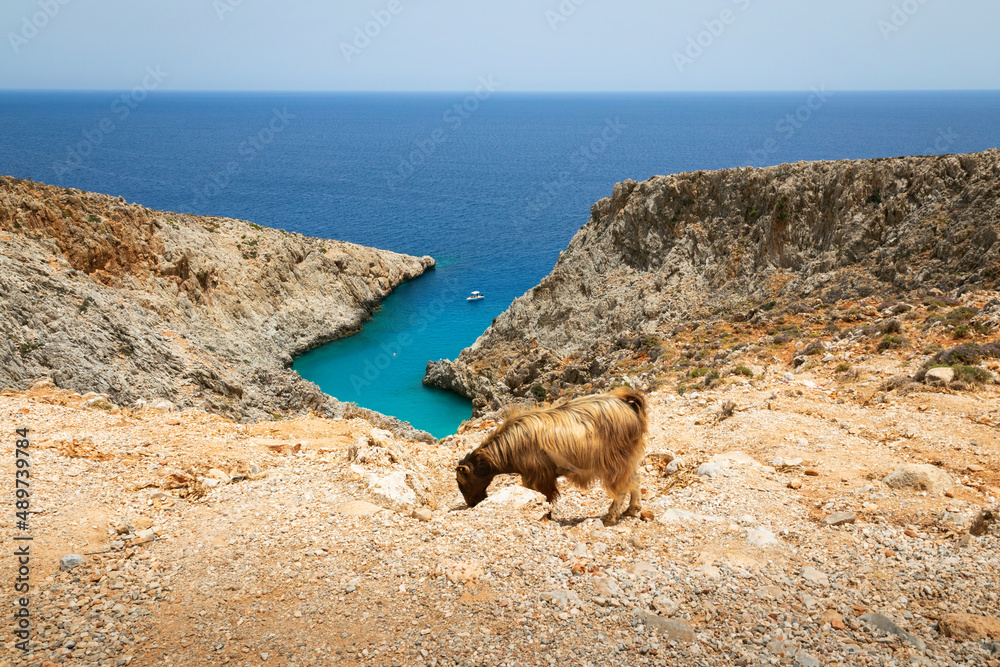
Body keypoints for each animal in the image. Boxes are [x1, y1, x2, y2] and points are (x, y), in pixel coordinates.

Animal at [456, 387, 648, 525]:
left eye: (461, 481)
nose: (472, 503)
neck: (511, 445)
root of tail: (628, 405)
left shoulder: (539, 476)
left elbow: (543, 497)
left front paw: (546, 516)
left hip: (615, 461)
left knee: (622, 488)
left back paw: (611, 517)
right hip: (629, 458)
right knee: (635, 479)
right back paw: (632, 509)